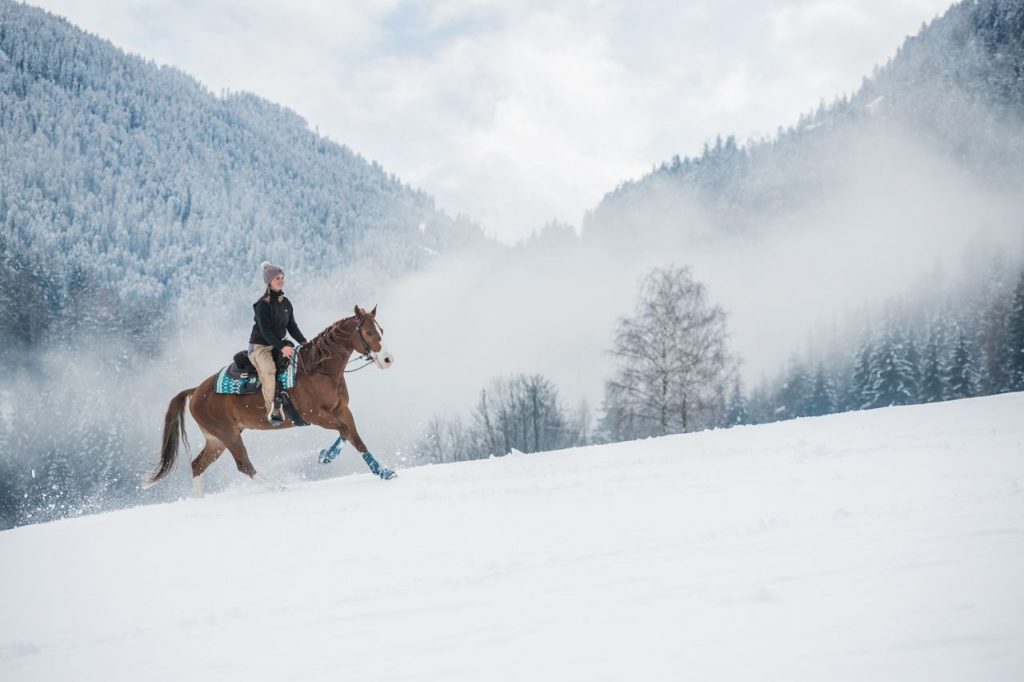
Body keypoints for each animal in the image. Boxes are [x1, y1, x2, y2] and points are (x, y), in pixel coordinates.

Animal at [145, 305, 396, 497]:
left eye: (381, 330)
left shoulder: (343, 410)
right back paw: (277, 487)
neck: (317, 369)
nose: (387, 359)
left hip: (216, 440)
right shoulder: (315, 415)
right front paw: (326, 456)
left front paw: (382, 471)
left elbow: (355, 438)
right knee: (243, 464)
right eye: (369, 332)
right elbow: (344, 431)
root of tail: (196, 391)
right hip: (228, 434)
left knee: (198, 464)